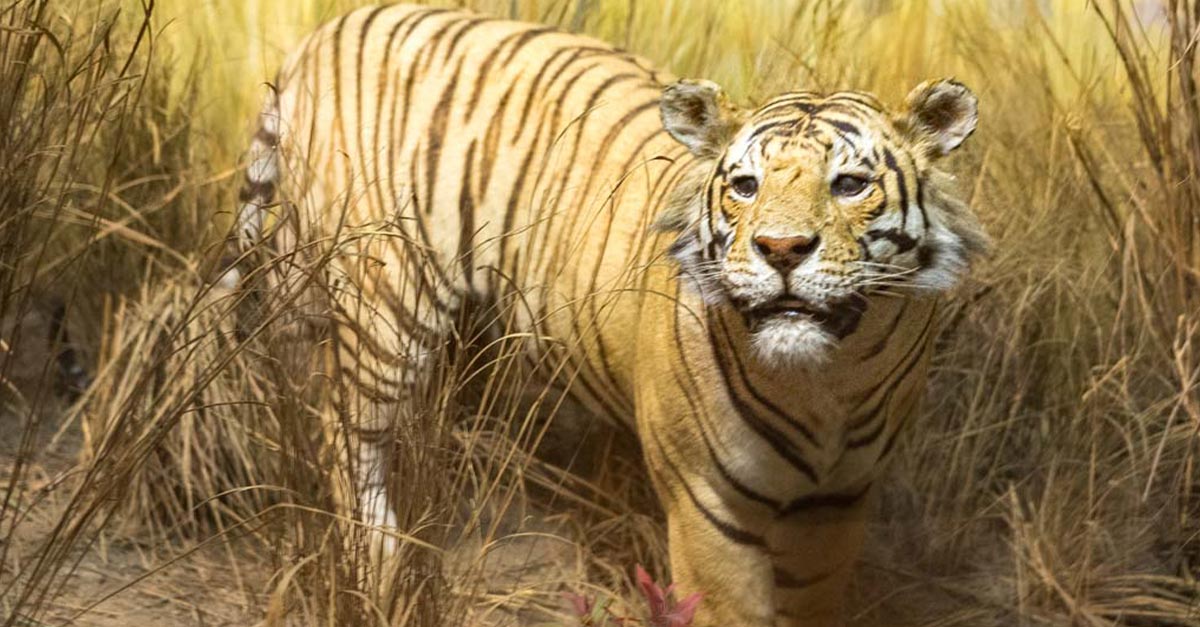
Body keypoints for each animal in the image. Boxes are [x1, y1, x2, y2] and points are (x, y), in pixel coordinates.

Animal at [225, 4, 987, 626]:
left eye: (850, 184)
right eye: (744, 186)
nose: (781, 249)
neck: (828, 381)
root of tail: (325, 31)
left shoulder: (836, 505)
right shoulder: (711, 507)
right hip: (383, 298)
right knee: (340, 431)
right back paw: (382, 571)